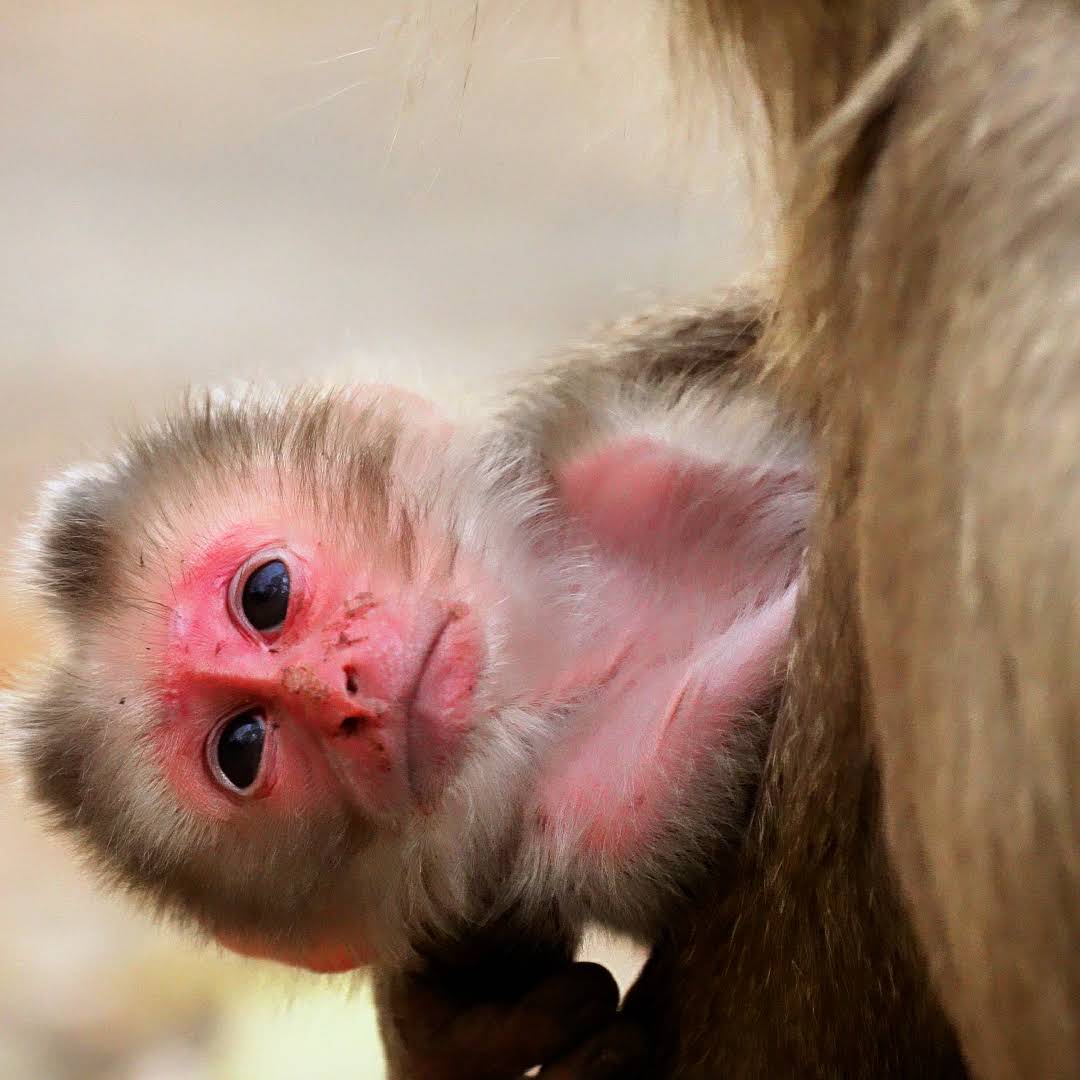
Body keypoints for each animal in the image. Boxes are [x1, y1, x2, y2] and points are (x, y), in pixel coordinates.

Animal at [2, 295, 816, 1070]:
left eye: (266, 593)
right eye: (242, 746)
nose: (340, 693)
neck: (571, 663)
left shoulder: (629, 471)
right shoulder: (593, 817)